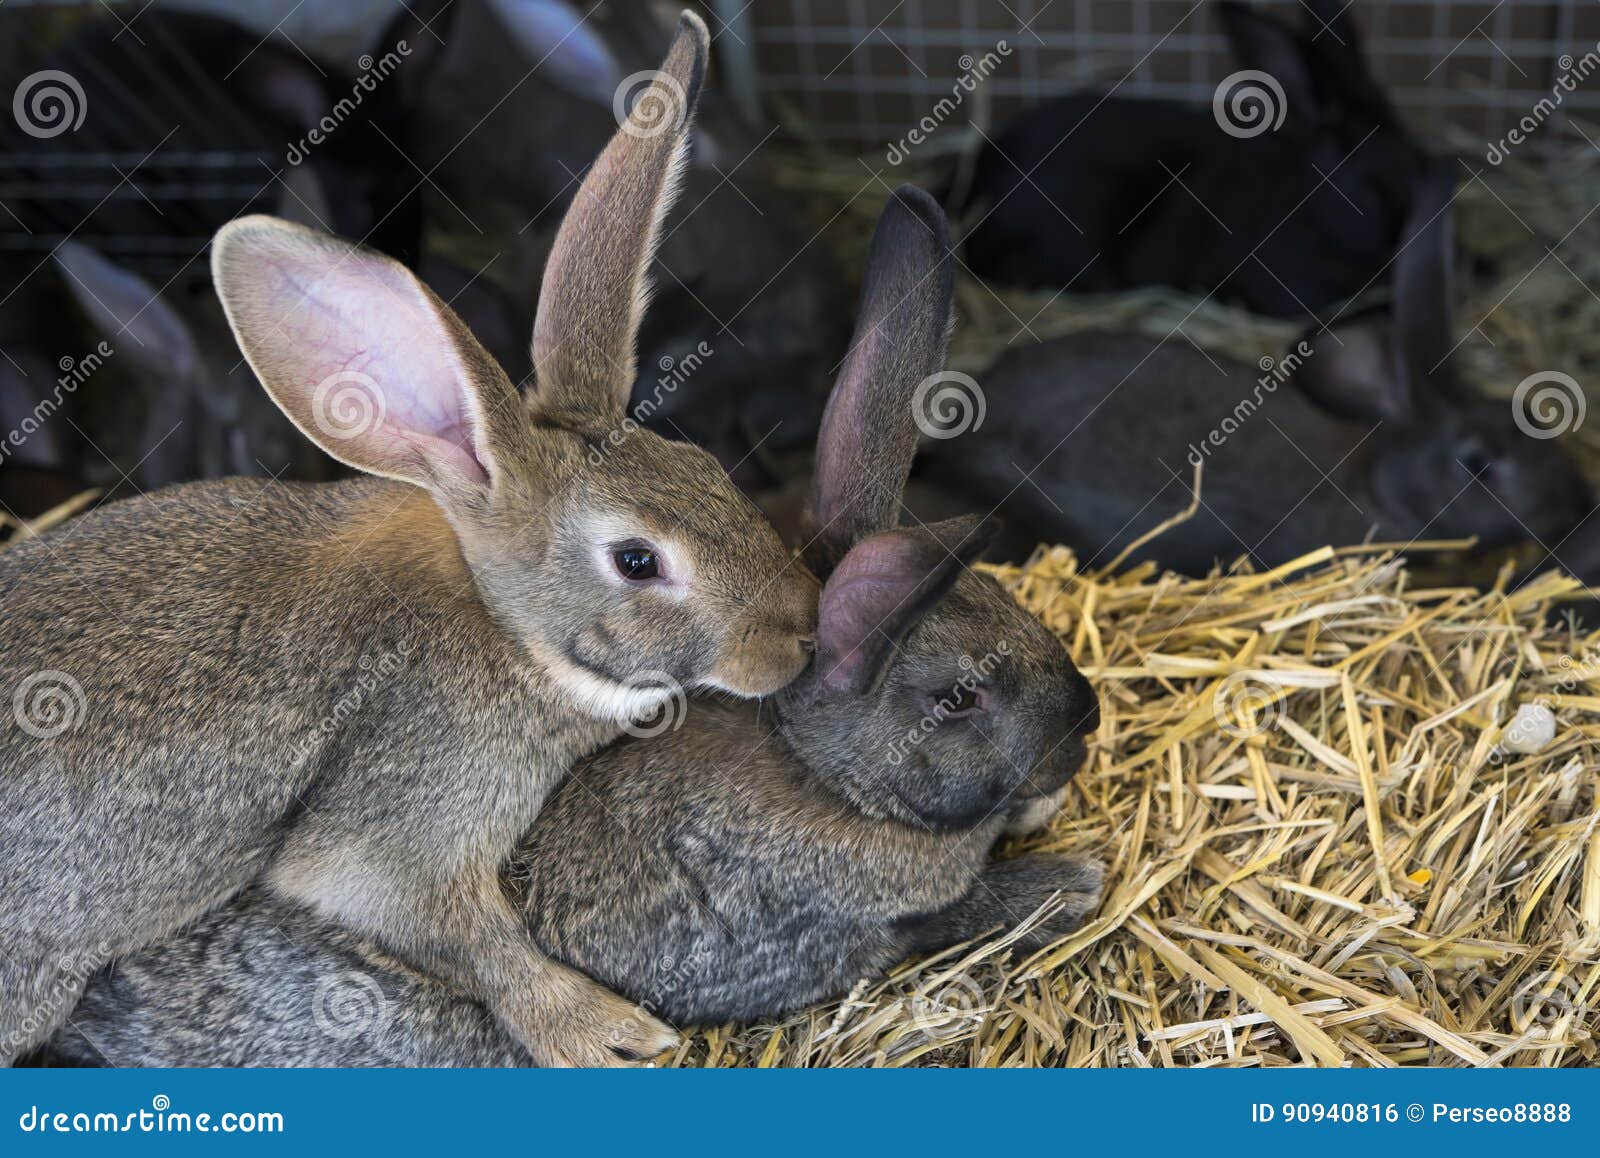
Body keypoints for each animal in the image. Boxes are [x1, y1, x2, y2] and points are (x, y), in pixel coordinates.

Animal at [0, 12, 819, 1069]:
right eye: (638, 561)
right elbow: (457, 932)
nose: (800, 633)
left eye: (709, 468)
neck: (501, 620)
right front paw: (605, 1034)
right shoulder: (394, 823)